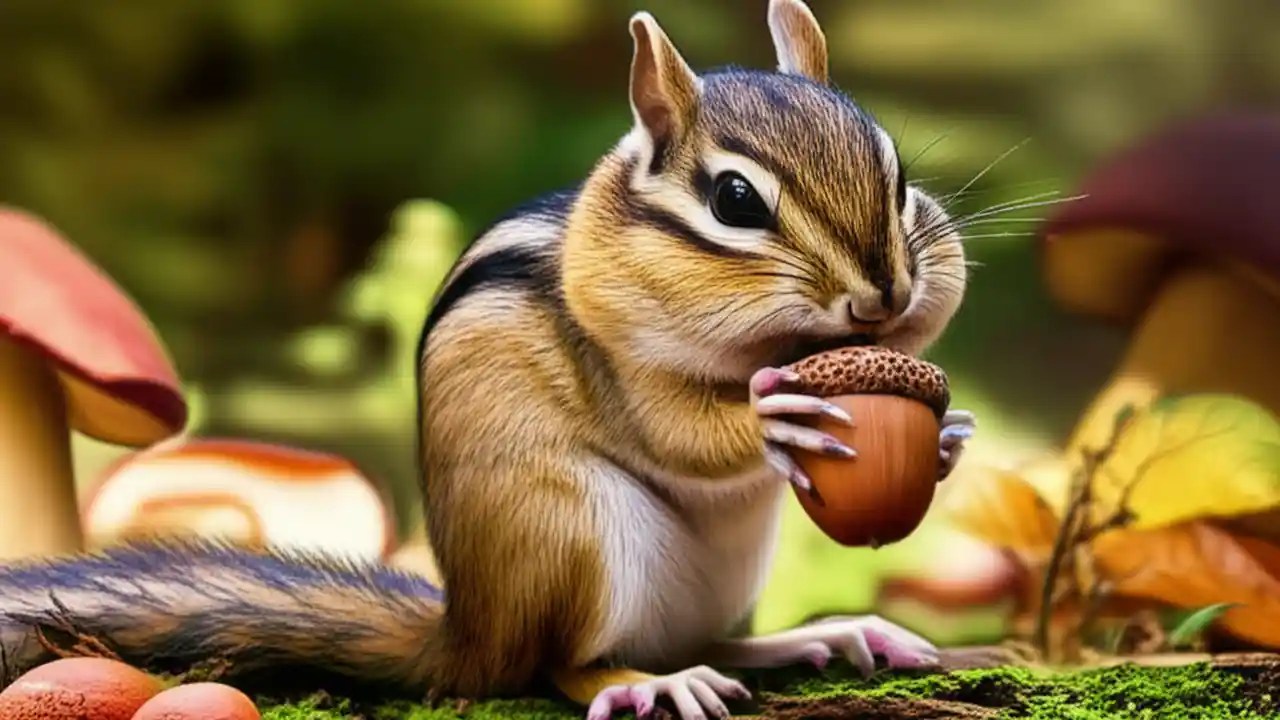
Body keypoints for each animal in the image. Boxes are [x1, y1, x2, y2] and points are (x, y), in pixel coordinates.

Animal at [0, 1, 975, 718]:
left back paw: (828, 635)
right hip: (576, 535)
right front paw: (772, 414)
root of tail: (468, 634)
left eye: (896, 176)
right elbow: (675, 431)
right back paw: (645, 683)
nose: (883, 298)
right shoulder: (610, 358)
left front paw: (950, 433)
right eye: (736, 200)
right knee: (563, 665)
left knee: (707, 638)